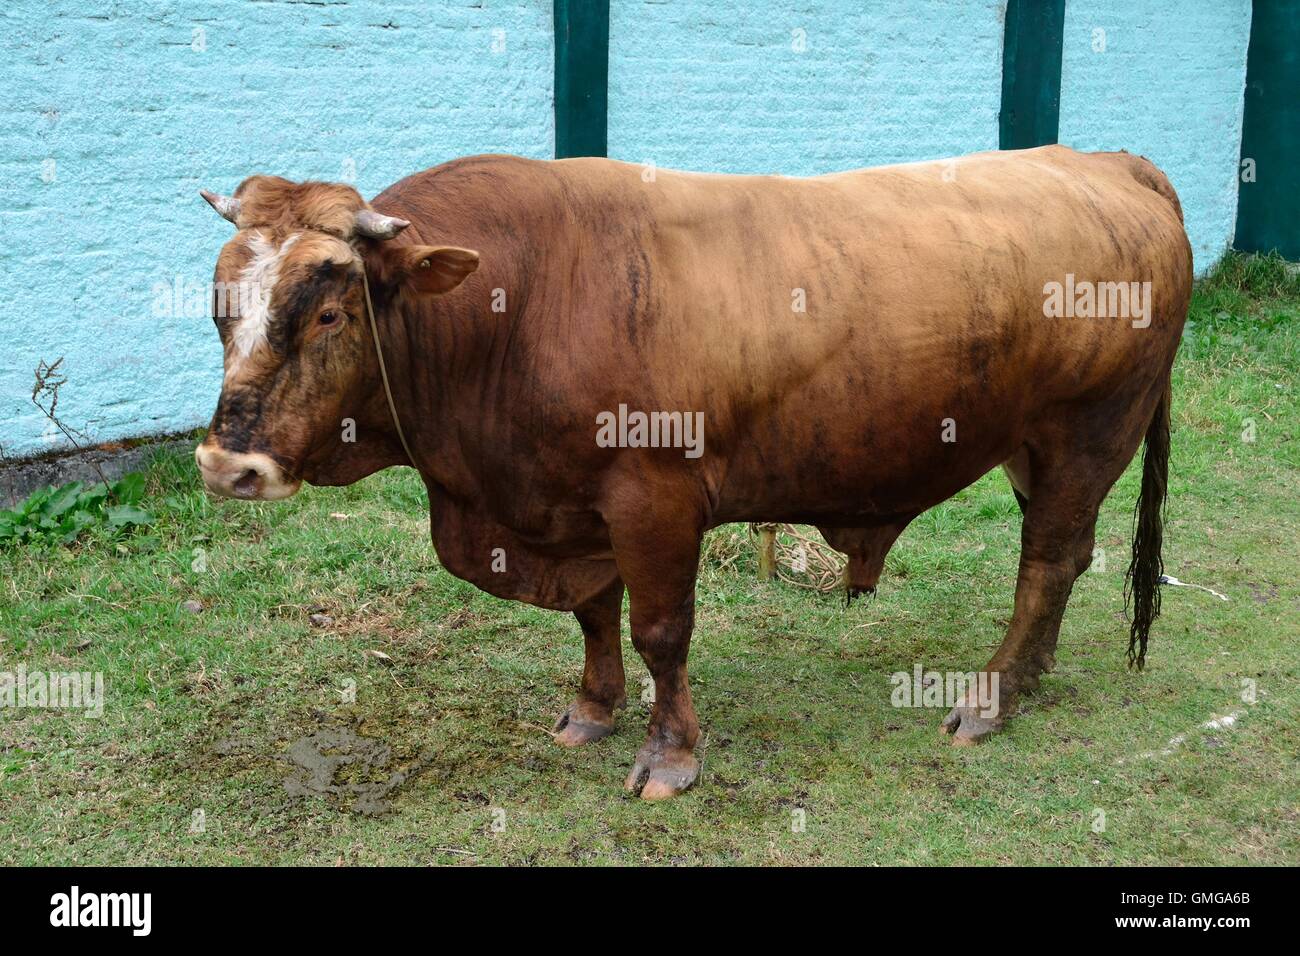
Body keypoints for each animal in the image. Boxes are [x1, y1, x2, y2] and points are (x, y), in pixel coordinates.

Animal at [195, 145, 1190, 800]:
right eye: (218, 302)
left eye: (329, 311)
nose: (226, 464)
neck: (523, 306)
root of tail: (1110, 160)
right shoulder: (572, 511)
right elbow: (596, 616)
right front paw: (591, 710)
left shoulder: (653, 498)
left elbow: (660, 632)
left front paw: (669, 755)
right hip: (1036, 448)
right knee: (1063, 561)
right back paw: (1030, 678)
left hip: (1089, 432)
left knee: (1047, 564)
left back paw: (990, 698)